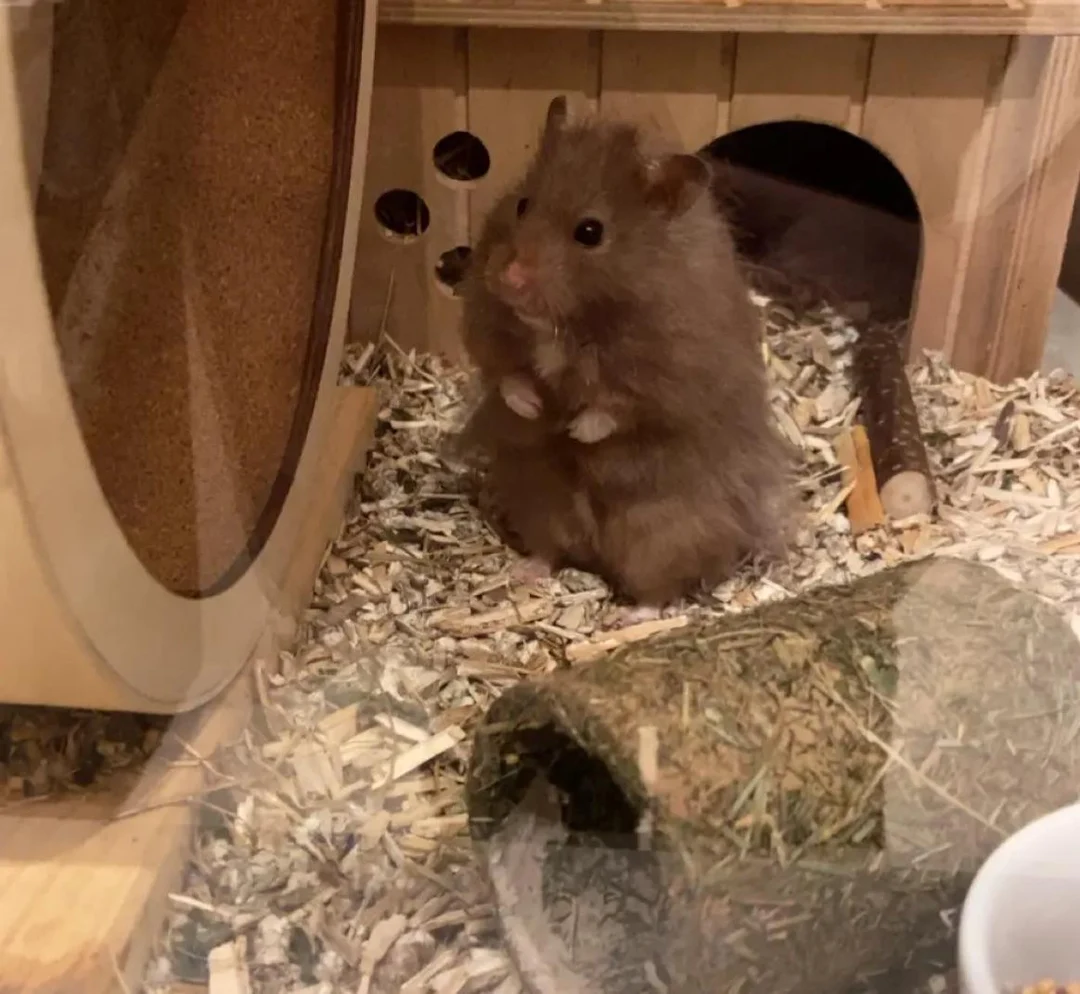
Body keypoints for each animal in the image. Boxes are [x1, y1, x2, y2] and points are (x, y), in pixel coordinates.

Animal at [456, 96, 794, 605]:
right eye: (522, 204)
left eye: (590, 231)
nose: (511, 279)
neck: (573, 316)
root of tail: (596, 555)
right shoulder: (484, 320)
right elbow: (505, 372)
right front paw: (534, 407)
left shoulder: (668, 371)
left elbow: (620, 406)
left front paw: (576, 430)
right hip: (537, 499)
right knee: (549, 550)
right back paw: (527, 572)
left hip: (663, 534)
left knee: (659, 588)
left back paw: (631, 612)